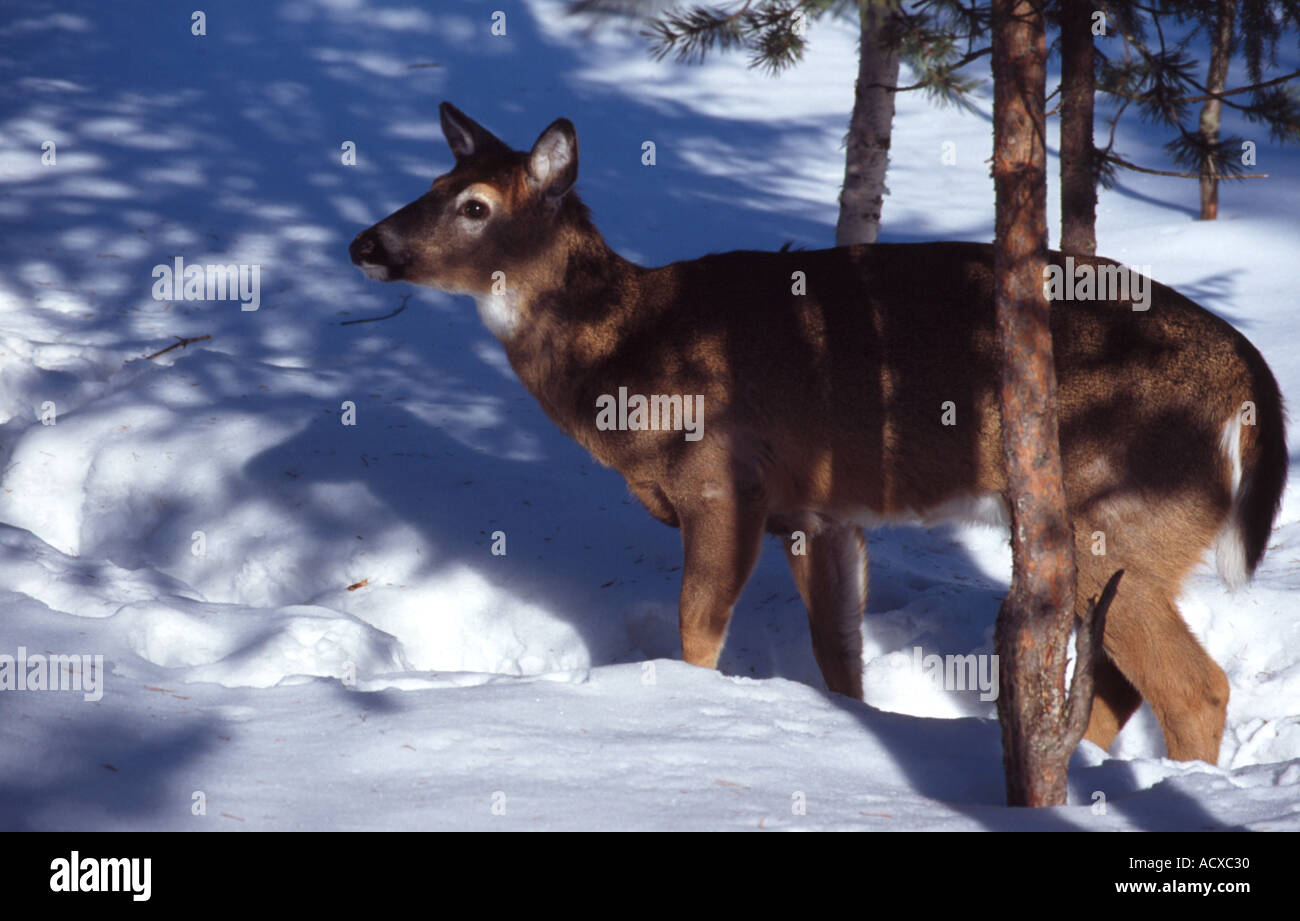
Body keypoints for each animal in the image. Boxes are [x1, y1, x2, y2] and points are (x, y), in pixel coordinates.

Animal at [349, 102, 1287, 765]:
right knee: (1123, 688)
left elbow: (699, 631)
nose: (365, 242)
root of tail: (1251, 379)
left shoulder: (725, 477)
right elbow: (840, 654)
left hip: (1117, 515)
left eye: (475, 205)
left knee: (1195, 688)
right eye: (430, 185)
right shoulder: (822, 511)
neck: (630, 353)